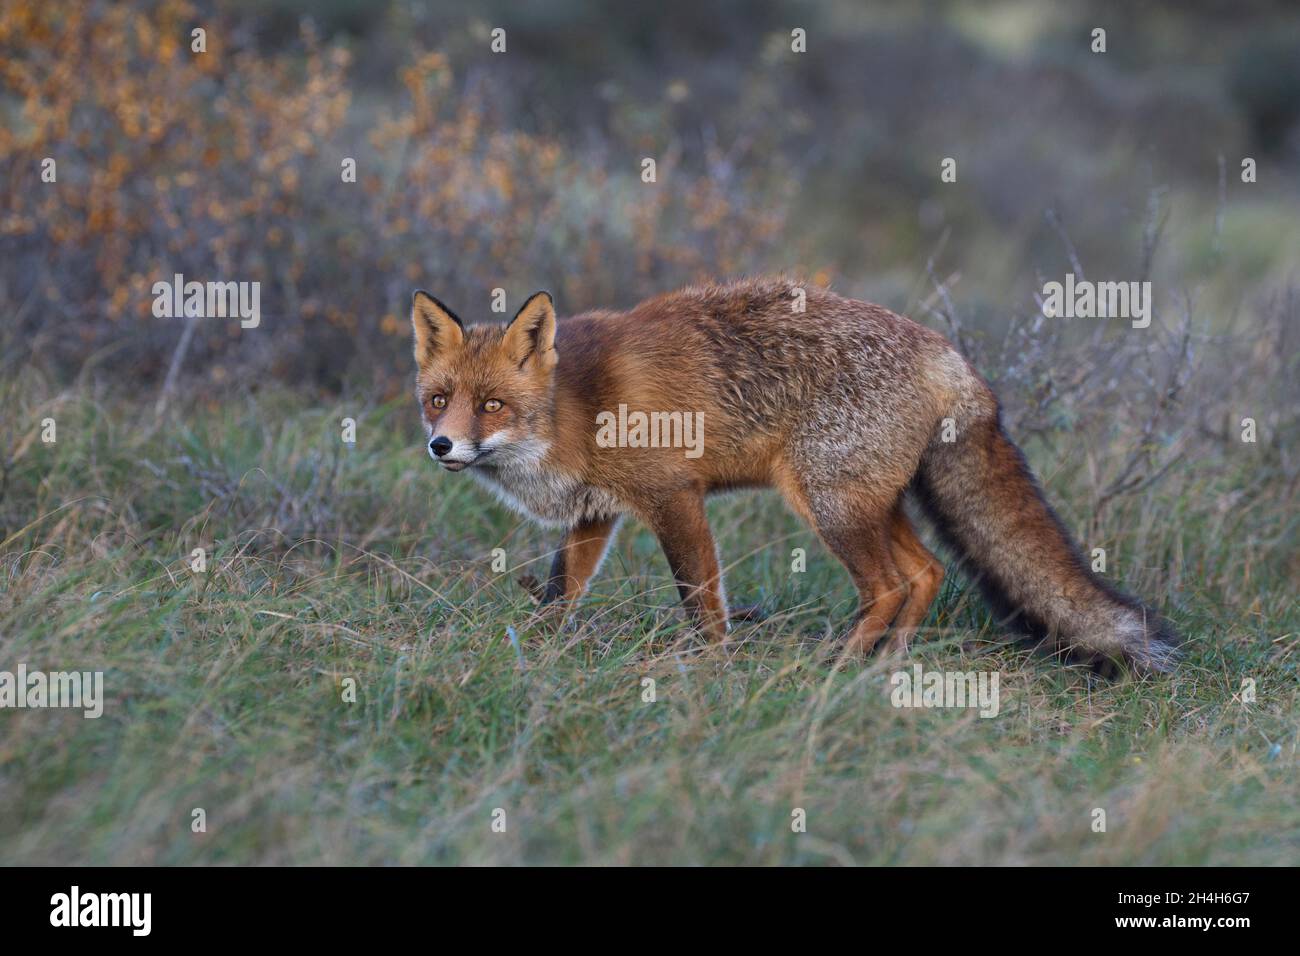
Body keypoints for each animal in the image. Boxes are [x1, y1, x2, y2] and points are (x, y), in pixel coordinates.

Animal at [410, 277, 1179, 674]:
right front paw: (537, 653)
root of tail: (954, 359)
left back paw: (839, 666)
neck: (577, 407)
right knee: (927, 572)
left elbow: (701, 601)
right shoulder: (596, 513)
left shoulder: (673, 497)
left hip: (828, 504)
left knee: (889, 584)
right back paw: (887, 664)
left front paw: (712, 668)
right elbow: (559, 594)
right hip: (870, 503)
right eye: (440, 399)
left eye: (493, 404)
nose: (442, 446)